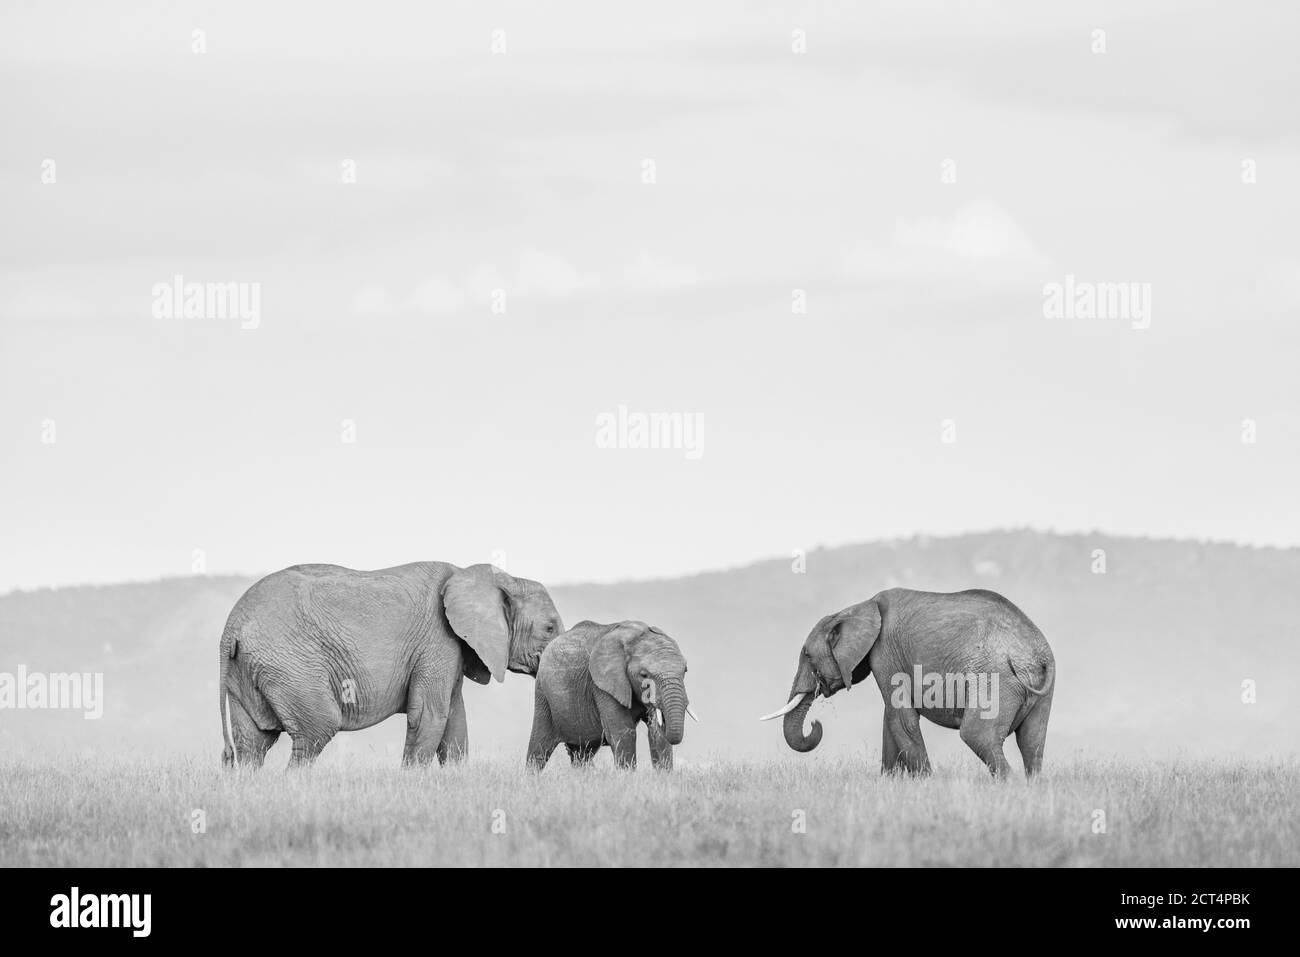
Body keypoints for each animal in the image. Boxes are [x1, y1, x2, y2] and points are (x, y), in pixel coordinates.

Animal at [218, 562, 563, 769]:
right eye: (549, 628)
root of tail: (232, 625)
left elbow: (454, 721)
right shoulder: (437, 641)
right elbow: (429, 715)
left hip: (249, 669)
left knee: (253, 742)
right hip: (289, 664)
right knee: (315, 729)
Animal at [526, 620, 697, 771]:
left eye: (685, 671)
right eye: (644, 675)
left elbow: (658, 734)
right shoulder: (602, 685)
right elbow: (624, 733)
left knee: (582, 754)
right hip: (543, 694)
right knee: (539, 748)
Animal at [763, 588, 1055, 779]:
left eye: (807, 655)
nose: (815, 723)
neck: (857, 607)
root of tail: (1040, 654)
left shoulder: (885, 652)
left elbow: (900, 718)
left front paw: (927, 783)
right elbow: (891, 719)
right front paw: (890, 782)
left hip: (996, 677)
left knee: (976, 735)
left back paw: (1010, 784)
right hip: (1040, 688)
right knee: (1032, 742)